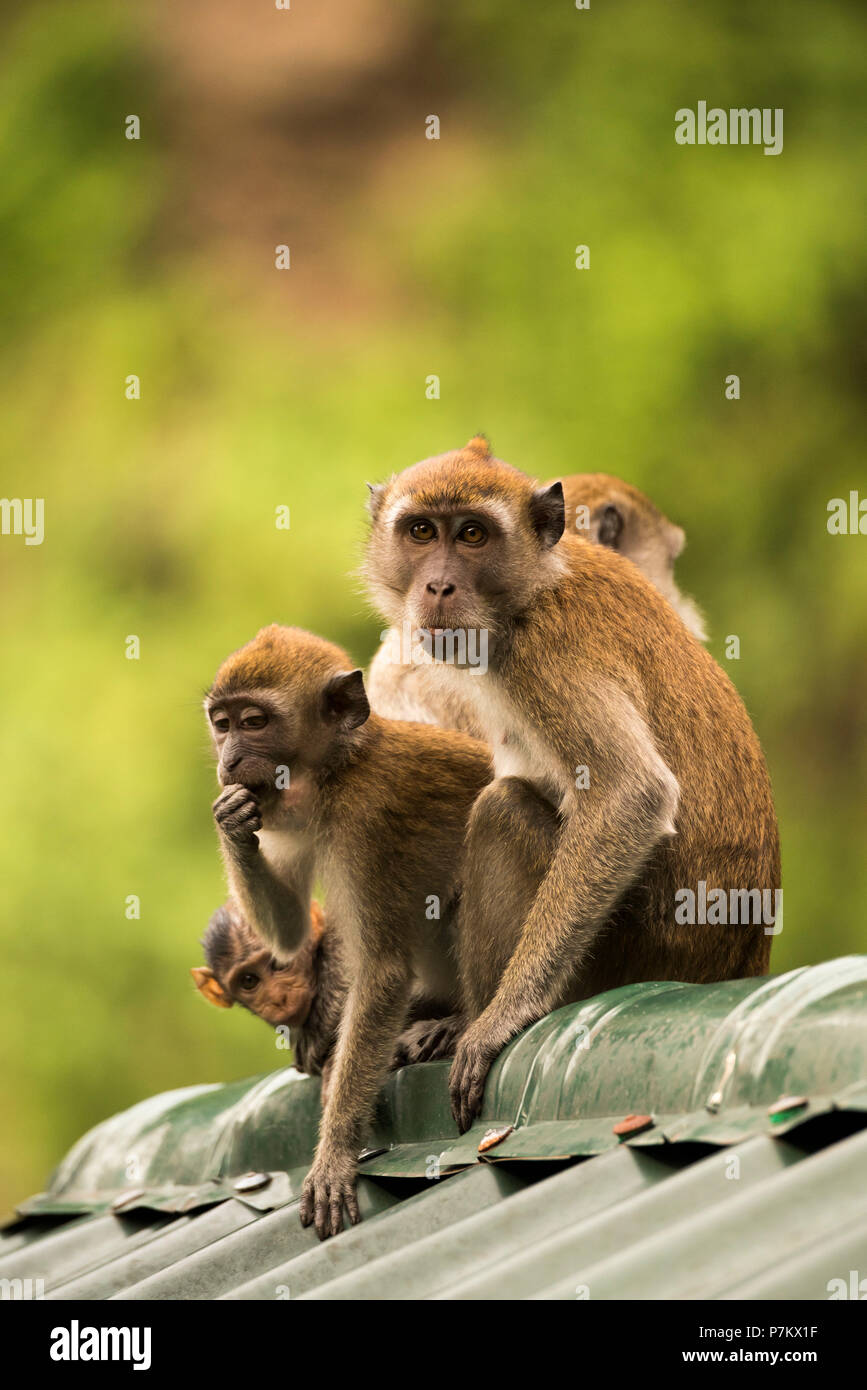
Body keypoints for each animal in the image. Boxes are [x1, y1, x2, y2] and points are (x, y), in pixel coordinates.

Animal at [205, 624, 492, 1237]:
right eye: (222, 723)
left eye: (254, 722)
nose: (230, 759)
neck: (336, 771)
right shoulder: (284, 812)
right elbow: (289, 933)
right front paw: (230, 820)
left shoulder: (367, 817)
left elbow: (380, 970)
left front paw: (334, 1153)